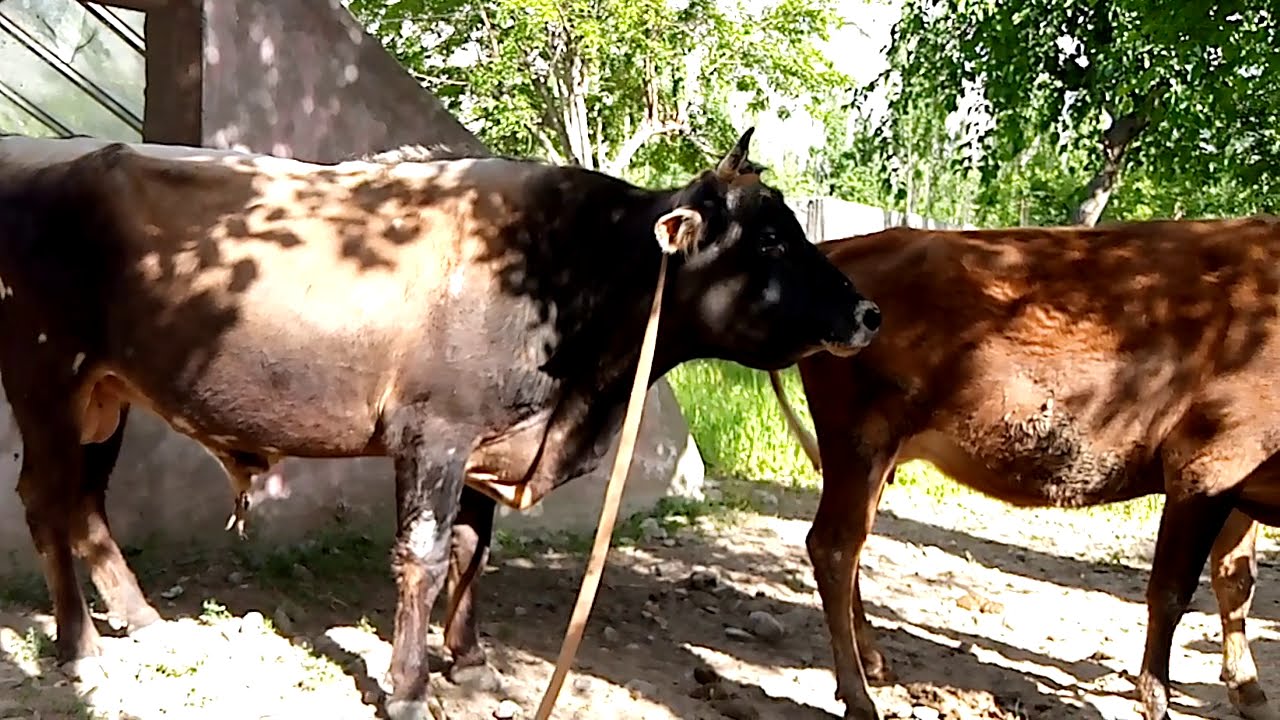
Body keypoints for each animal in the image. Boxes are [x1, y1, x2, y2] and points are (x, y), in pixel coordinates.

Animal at [0, 128, 881, 720]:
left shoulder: (492, 444)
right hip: (46, 382)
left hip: (105, 397)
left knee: (86, 506)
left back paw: (144, 623)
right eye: (770, 238)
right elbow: (422, 557)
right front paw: (409, 687)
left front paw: (472, 662)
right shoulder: (436, 436)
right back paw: (80, 651)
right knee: (46, 502)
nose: (868, 312)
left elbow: (471, 550)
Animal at [766, 219, 1280, 720]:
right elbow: (1172, 593)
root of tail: (845, 246)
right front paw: (1157, 701)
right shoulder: (1205, 468)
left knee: (850, 543)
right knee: (834, 547)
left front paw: (1250, 692)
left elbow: (1236, 580)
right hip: (860, 440)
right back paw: (858, 695)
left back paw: (872, 662)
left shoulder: (1239, 487)